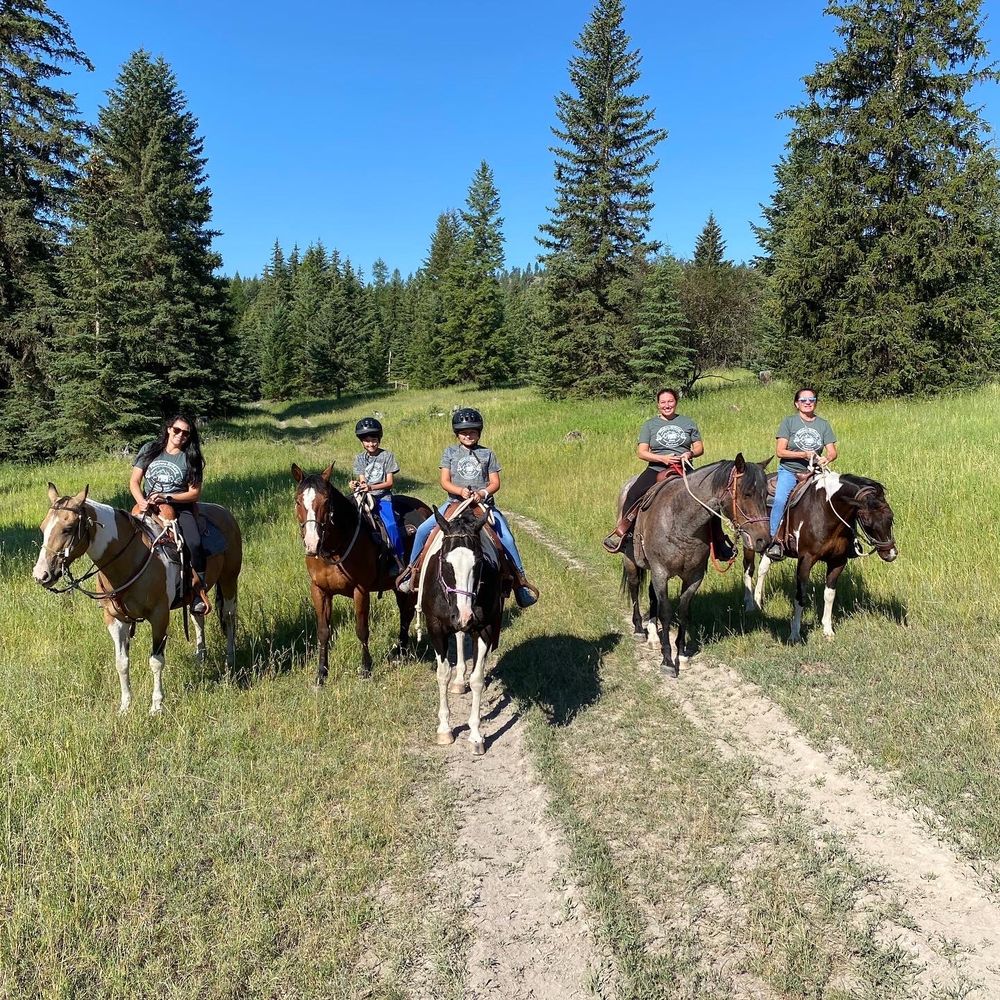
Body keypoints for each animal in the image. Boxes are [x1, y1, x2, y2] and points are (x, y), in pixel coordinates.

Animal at [32, 483, 242, 714]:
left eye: (68, 528)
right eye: (43, 528)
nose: (41, 575)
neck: (129, 558)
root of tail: (223, 512)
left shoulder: (160, 616)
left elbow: (156, 661)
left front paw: (156, 706)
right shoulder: (115, 619)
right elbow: (121, 662)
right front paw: (125, 706)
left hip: (229, 579)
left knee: (229, 616)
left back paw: (230, 660)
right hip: (196, 597)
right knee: (198, 618)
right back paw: (200, 657)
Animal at [291, 463, 431, 682]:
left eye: (326, 501)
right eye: (298, 501)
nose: (312, 544)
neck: (335, 547)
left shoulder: (361, 590)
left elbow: (362, 630)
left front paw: (366, 669)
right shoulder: (319, 590)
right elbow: (323, 632)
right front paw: (321, 673)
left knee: (407, 613)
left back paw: (401, 650)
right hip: (398, 585)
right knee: (404, 612)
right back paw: (400, 650)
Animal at [420, 506, 504, 755]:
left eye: (478, 563)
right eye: (446, 563)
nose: (465, 615)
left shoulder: (485, 628)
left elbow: (477, 679)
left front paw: (476, 735)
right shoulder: (435, 627)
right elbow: (442, 674)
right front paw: (444, 729)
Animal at [618, 455, 771, 677]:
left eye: (765, 494)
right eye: (747, 493)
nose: (764, 540)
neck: (681, 523)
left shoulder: (694, 576)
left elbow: (683, 612)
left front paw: (681, 655)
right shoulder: (661, 572)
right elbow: (666, 612)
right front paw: (667, 661)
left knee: (652, 595)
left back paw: (653, 636)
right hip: (631, 561)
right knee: (634, 586)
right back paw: (639, 629)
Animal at [745, 470, 898, 642]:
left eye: (890, 516)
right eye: (866, 520)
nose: (890, 554)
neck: (825, 512)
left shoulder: (838, 562)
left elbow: (829, 594)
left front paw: (827, 630)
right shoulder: (805, 560)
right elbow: (800, 595)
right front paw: (795, 634)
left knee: (763, 568)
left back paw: (758, 602)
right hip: (749, 542)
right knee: (749, 569)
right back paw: (750, 605)